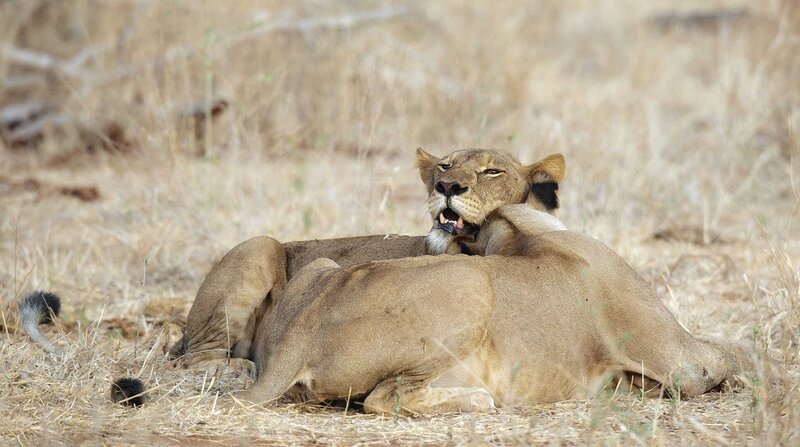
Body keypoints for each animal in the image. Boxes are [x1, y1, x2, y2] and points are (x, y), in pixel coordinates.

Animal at [169, 148, 567, 372]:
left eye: (492, 172)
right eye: (444, 166)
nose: (447, 186)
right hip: (260, 245)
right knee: (194, 357)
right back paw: (238, 369)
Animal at [236, 199, 753, 415]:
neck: (521, 234)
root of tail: (298, 338)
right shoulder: (685, 360)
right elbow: (731, 355)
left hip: (320, 267)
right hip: (469, 287)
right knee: (384, 399)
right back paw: (478, 399)